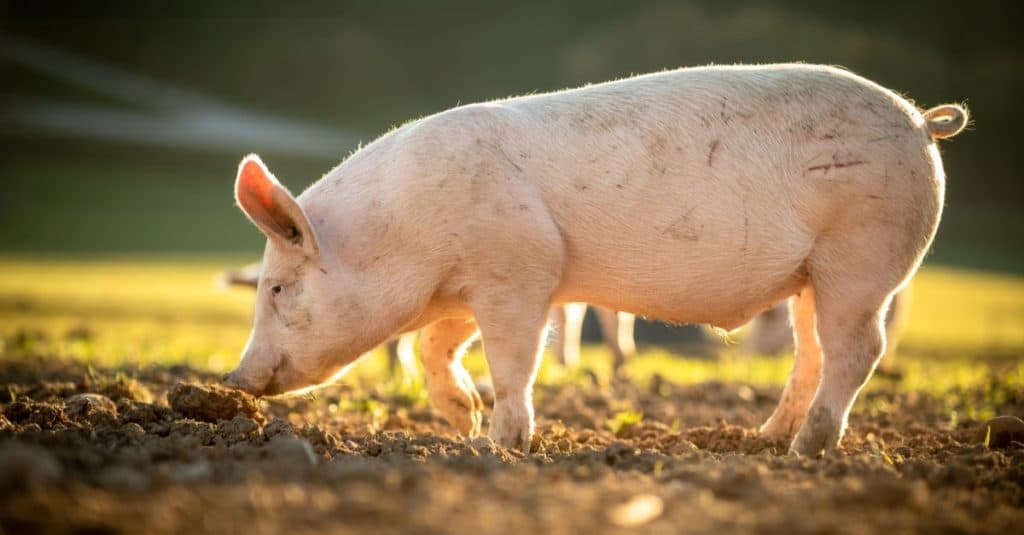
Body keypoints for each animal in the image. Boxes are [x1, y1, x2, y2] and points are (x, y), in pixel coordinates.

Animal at [224, 63, 968, 455]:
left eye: (277, 289)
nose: (236, 378)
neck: (405, 231)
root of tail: (921, 122)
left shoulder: (519, 269)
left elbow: (514, 362)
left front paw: (501, 444)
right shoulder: (471, 284)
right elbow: (438, 346)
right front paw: (464, 421)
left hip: (865, 256)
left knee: (858, 349)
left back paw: (804, 449)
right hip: (812, 277)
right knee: (809, 353)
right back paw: (763, 437)